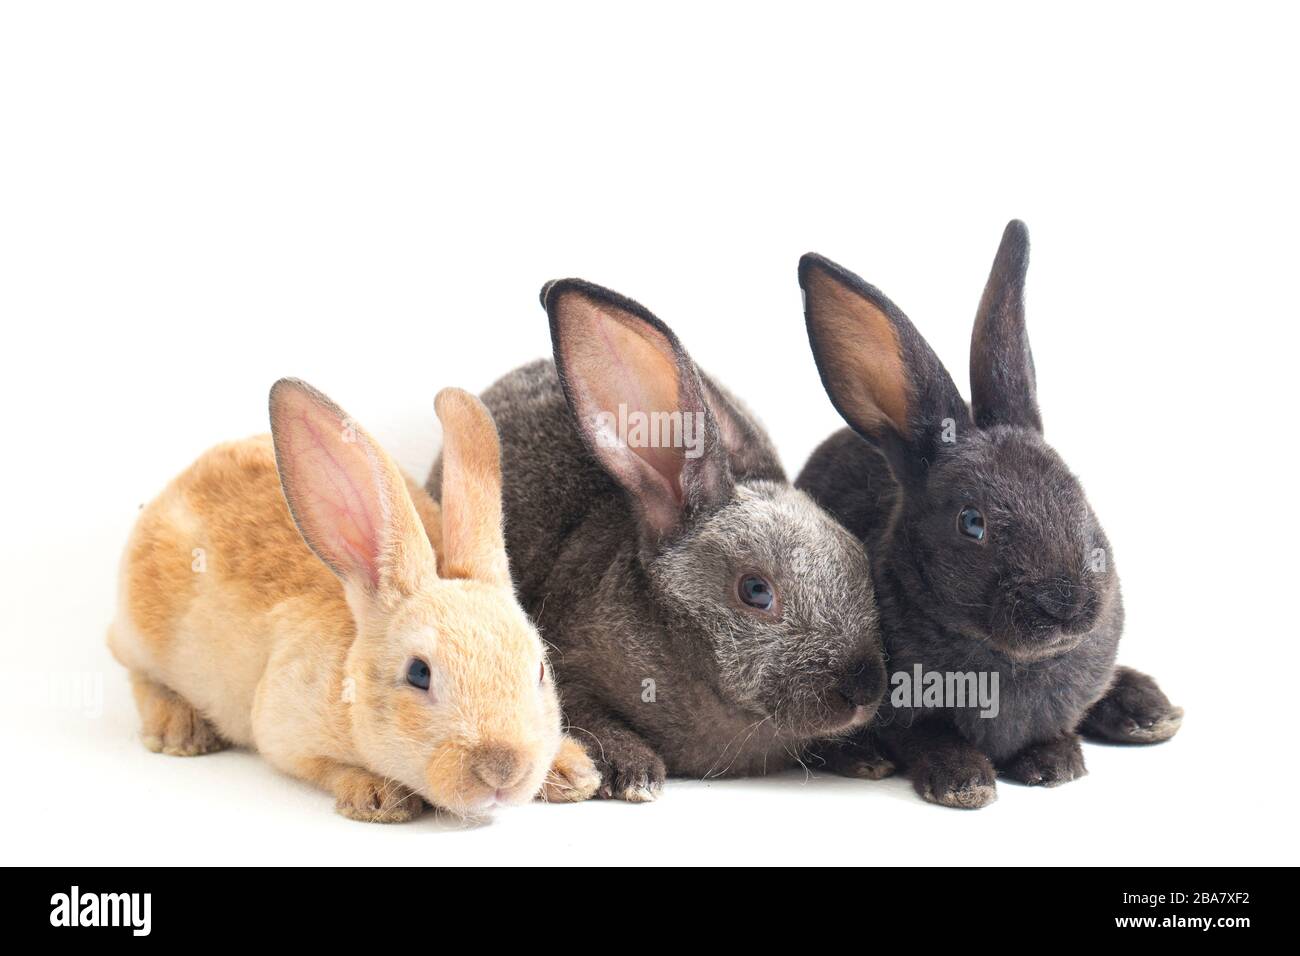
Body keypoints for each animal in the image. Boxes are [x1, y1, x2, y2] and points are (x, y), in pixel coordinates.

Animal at [108, 379, 600, 822]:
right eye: (418, 673)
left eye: (539, 670)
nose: (502, 770)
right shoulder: (283, 733)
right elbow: (322, 766)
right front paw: (377, 797)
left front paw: (576, 774)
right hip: (143, 637)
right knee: (135, 671)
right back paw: (179, 731)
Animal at [794, 221, 1184, 809]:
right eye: (971, 522)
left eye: (1077, 493)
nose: (1068, 606)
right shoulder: (900, 708)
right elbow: (930, 737)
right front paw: (965, 782)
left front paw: (1055, 764)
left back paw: (1151, 713)